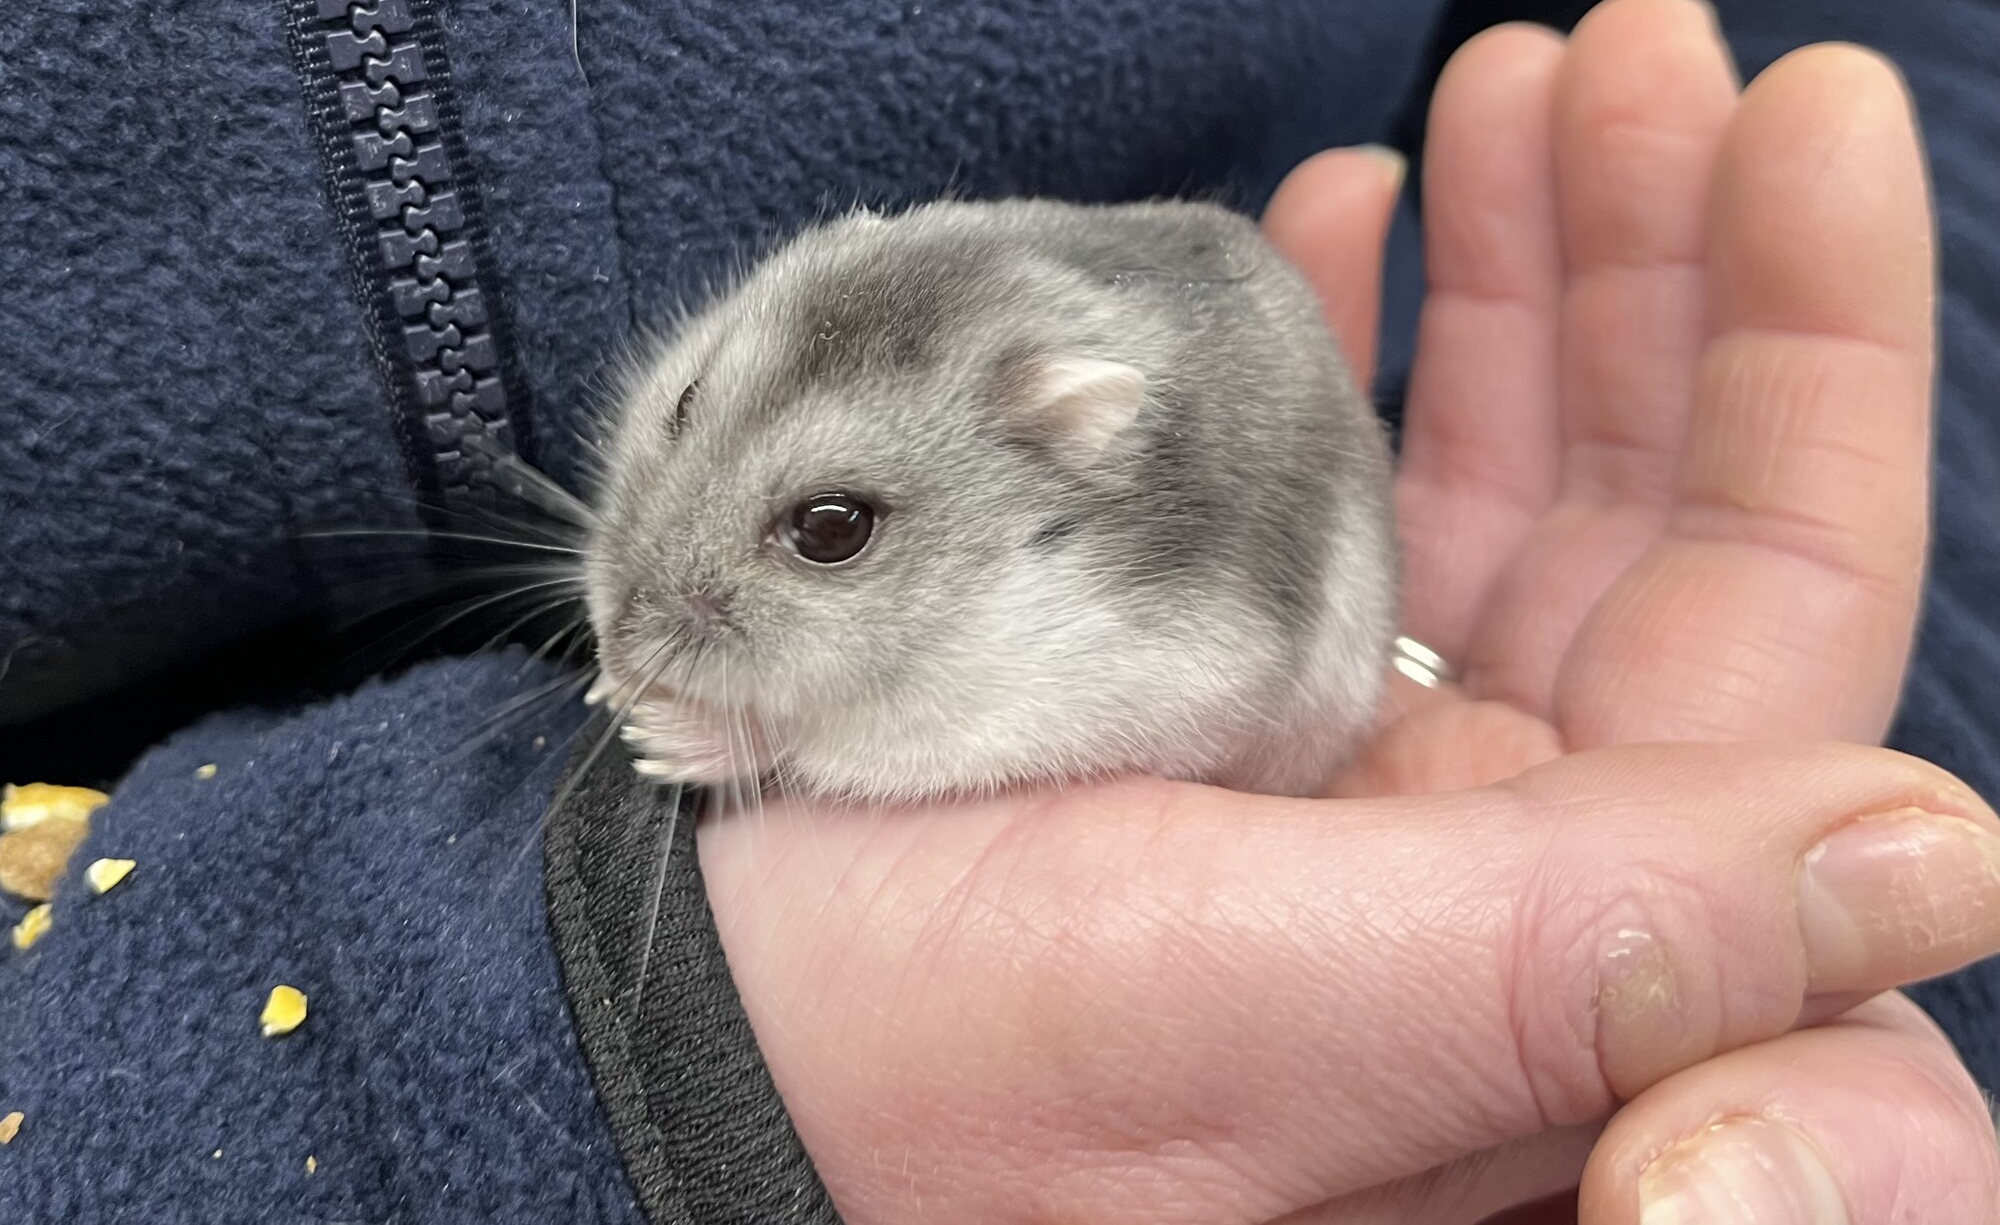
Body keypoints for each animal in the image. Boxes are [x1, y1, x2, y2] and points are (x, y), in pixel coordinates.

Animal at [583, 197, 1397, 803]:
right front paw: (607, 690)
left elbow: (814, 744)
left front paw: (658, 736)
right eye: (685, 400)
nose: (616, 645)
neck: (981, 591)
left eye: (831, 528)